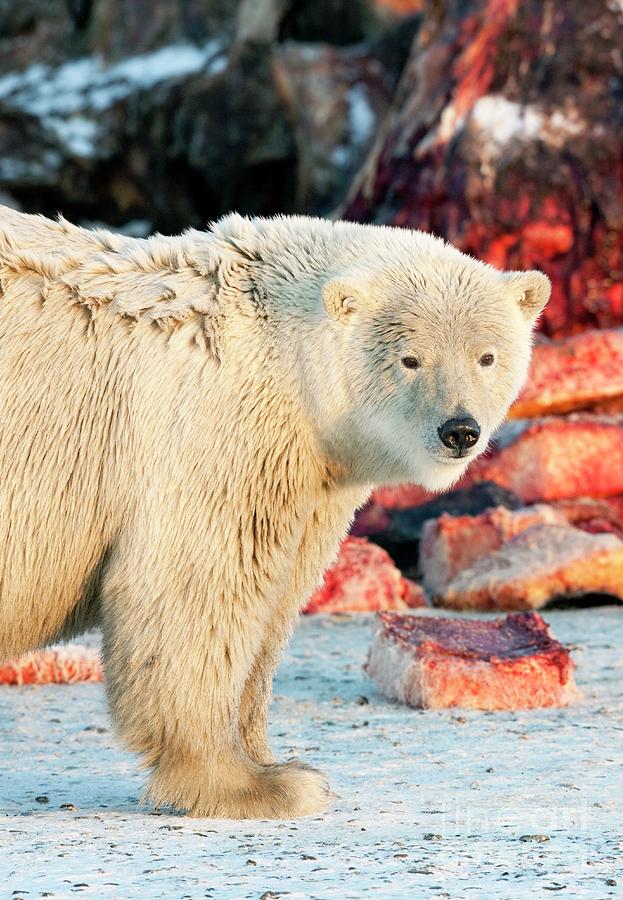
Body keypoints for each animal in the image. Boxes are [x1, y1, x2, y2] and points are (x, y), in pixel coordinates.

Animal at [0, 205, 549, 818]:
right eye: (409, 359)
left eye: (487, 356)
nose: (459, 430)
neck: (276, 345)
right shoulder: (214, 432)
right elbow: (194, 592)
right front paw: (254, 786)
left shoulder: (309, 481)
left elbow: (273, 602)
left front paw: (275, 760)